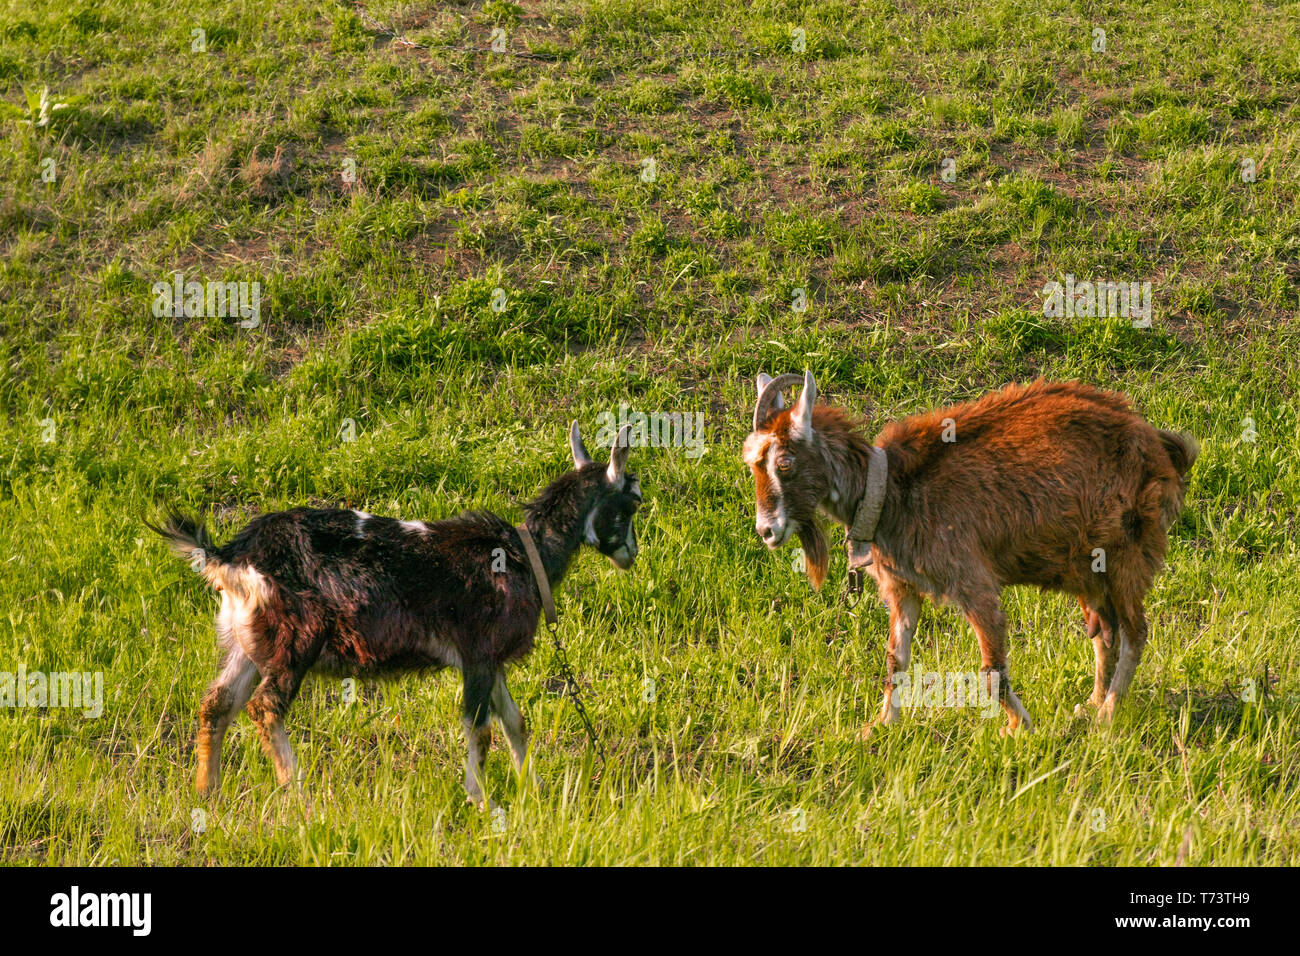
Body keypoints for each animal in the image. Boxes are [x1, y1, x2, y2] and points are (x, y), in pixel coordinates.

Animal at [150, 422, 641, 805]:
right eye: (633, 500)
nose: (632, 554)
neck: (526, 555)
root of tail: (231, 553)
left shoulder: (491, 661)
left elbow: (515, 722)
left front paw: (532, 789)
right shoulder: (478, 654)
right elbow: (479, 728)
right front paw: (480, 799)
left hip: (246, 642)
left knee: (217, 703)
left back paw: (207, 794)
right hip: (296, 640)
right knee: (265, 707)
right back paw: (300, 797)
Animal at [744, 372, 1197, 733]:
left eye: (784, 463)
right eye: (753, 465)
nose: (767, 531)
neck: (890, 491)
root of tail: (1161, 446)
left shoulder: (973, 582)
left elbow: (991, 668)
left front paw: (1020, 728)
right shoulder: (903, 590)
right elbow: (896, 661)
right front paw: (880, 726)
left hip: (1127, 554)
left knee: (1136, 631)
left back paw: (1108, 714)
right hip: (1088, 567)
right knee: (1105, 632)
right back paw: (1091, 704)